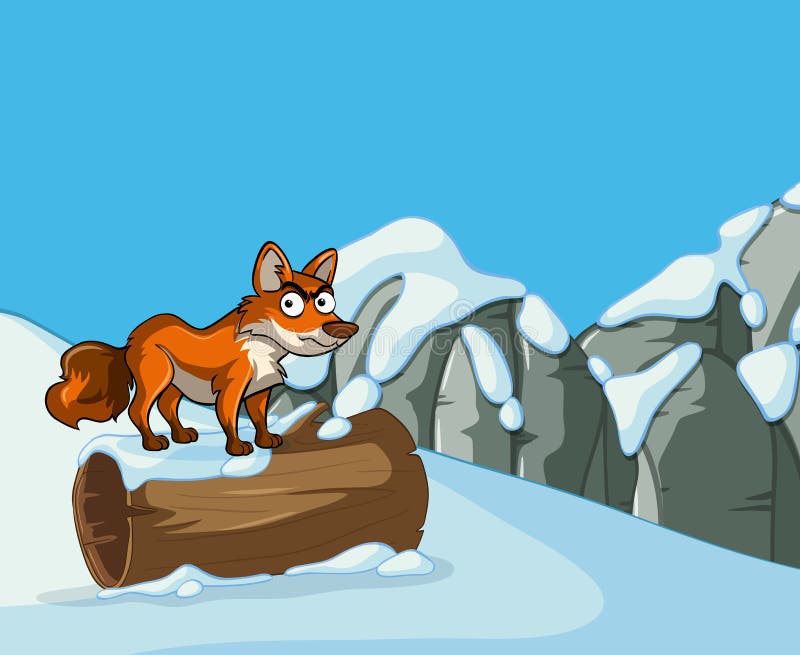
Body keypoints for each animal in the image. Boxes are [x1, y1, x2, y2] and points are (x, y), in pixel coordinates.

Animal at [45, 242, 358, 456]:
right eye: (290, 304)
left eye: (326, 303)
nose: (345, 329)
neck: (261, 348)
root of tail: (129, 342)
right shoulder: (231, 387)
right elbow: (229, 420)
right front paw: (238, 449)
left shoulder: (259, 389)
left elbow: (259, 418)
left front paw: (266, 441)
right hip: (157, 378)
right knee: (138, 410)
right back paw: (153, 443)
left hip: (174, 385)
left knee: (166, 407)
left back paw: (181, 436)